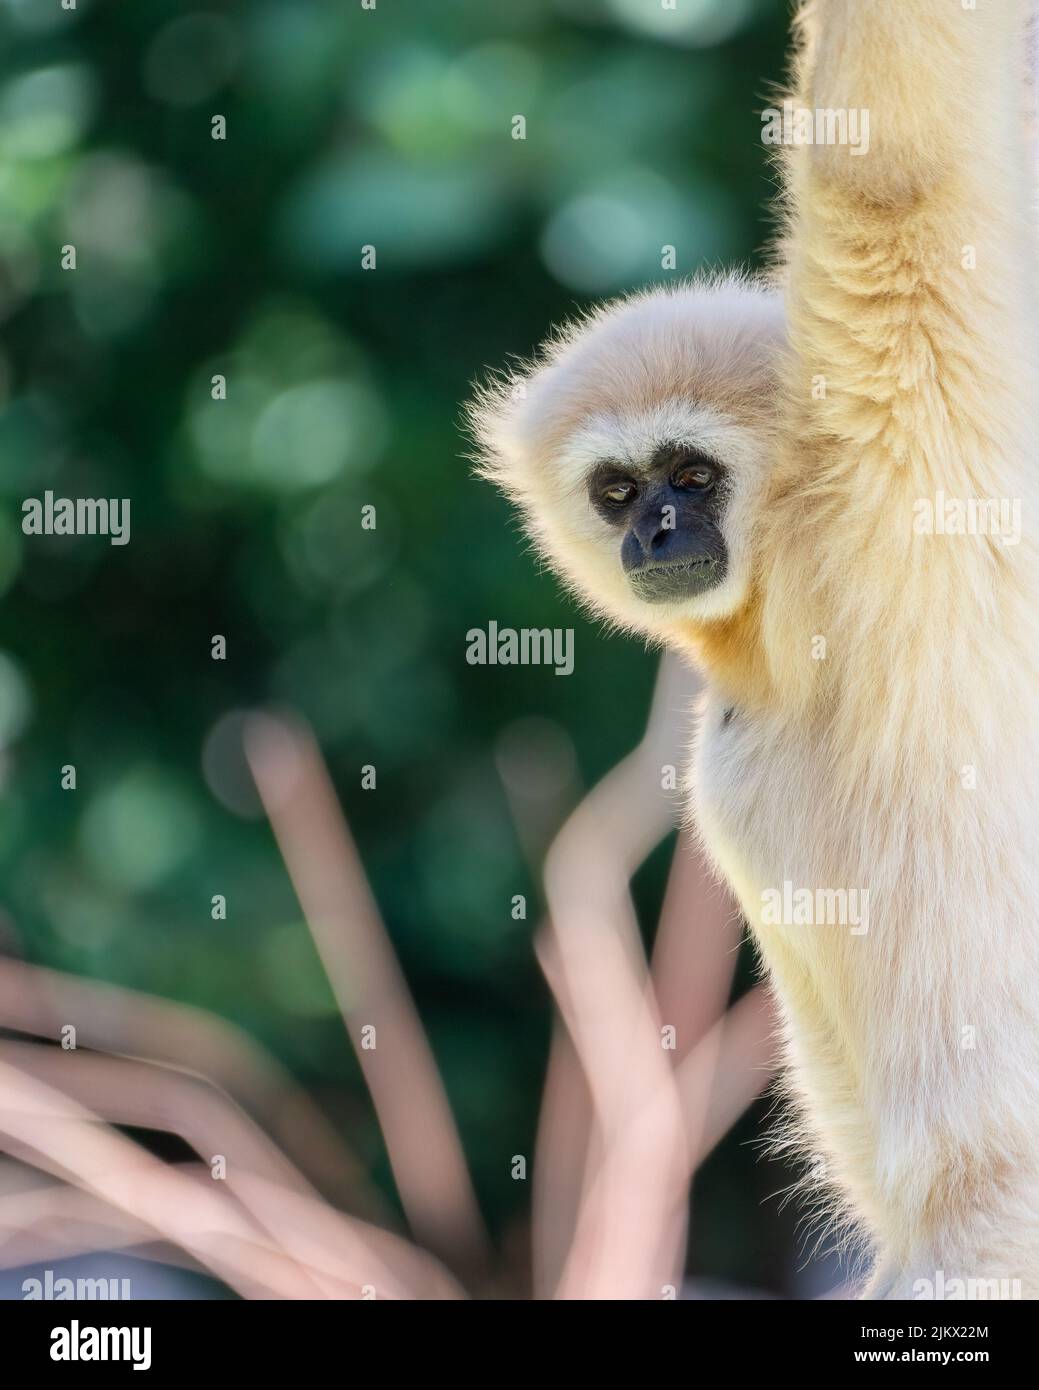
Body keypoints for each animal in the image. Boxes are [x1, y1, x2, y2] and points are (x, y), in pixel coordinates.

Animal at [469, 0, 1039, 1298]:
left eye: (690, 476)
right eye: (618, 487)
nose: (654, 529)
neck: (788, 601)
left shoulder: (904, 487)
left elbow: (890, 169)